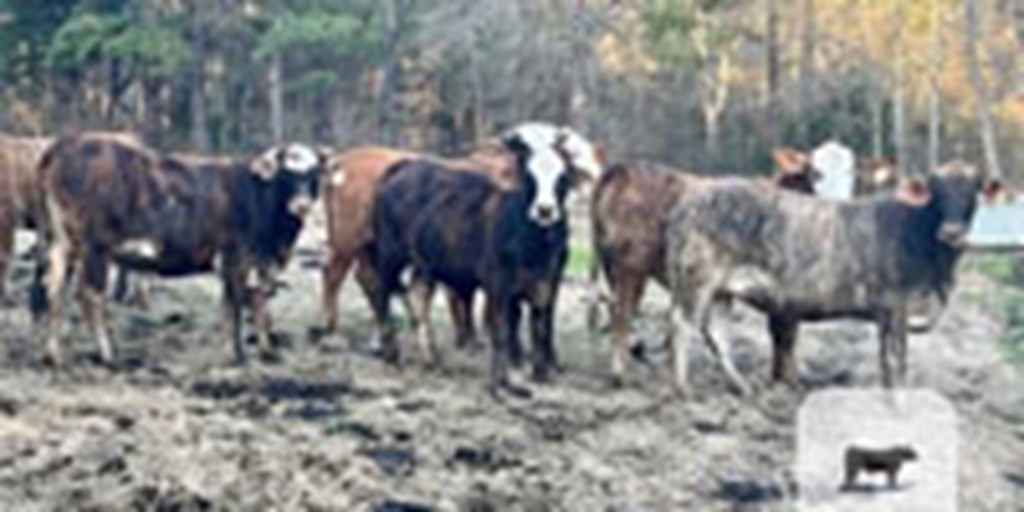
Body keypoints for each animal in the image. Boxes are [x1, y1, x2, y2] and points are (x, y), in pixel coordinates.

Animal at [31, 133, 326, 366]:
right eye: (287, 174)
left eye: (314, 175)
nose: (302, 205)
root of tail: (65, 144)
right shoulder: (235, 259)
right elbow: (236, 305)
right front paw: (236, 353)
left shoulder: (255, 264)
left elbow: (255, 303)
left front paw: (265, 351)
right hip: (93, 248)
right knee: (89, 296)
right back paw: (106, 354)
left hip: (61, 244)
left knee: (55, 291)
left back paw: (50, 354)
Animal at [320, 122, 601, 346]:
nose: (596, 180)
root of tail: (342, 162)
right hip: (349, 241)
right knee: (336, 276)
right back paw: (332, 328)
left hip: (368, 247)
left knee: (369, 279)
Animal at [368, 131, 590, 397]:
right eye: (529, 176)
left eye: (563, 178)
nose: (544, 210)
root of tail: (406, 166)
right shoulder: (498, 285)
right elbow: (502, 331)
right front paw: (498, 384)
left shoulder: (545, 284)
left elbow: (539, 328)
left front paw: (536, 375)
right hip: (390, 254)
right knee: (381, 293)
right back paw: (391, 353)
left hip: (424, 264)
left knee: (418, 297)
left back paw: (432, 359)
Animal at [587, 148, 820, 385]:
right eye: (810, 174)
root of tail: (620, 170)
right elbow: (784, 333)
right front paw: (787, 379)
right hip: (632, 267)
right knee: (622, 312)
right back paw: (621, 374)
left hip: (610, 264)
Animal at [663, 161, 1001, 394]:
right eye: (936, 191)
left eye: (972, 191)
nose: (951, 232)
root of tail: (695, 195)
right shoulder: (895, 308)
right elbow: (896, 361)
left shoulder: (889, 315)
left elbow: (887, 361)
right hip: (698, 278)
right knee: (682, 323)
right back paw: (682, 387)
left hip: (722, 289)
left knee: (716, 334)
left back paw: (742, 387)